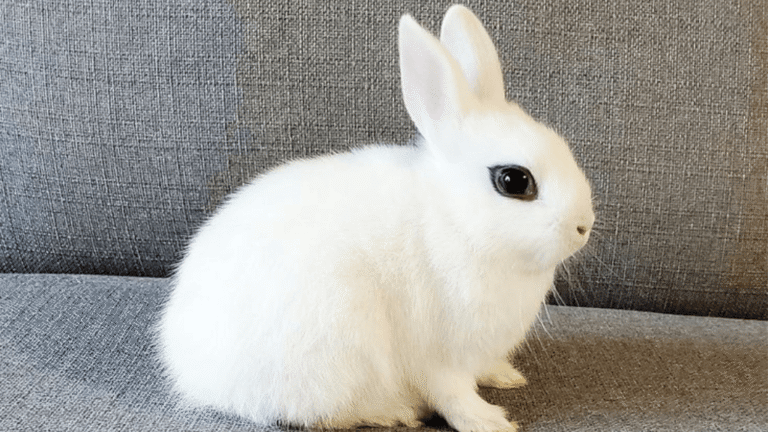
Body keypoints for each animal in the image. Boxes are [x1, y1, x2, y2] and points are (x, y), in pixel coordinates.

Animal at [157, 4, 594, 432]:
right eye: (514, 180)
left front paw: (506, 376)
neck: (454, 218)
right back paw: (394, 412)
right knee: (325, 414)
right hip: (338, 345)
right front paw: (489, 420)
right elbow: (452, 395)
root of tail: (192, 372)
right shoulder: (439, 356)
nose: (584, 226)